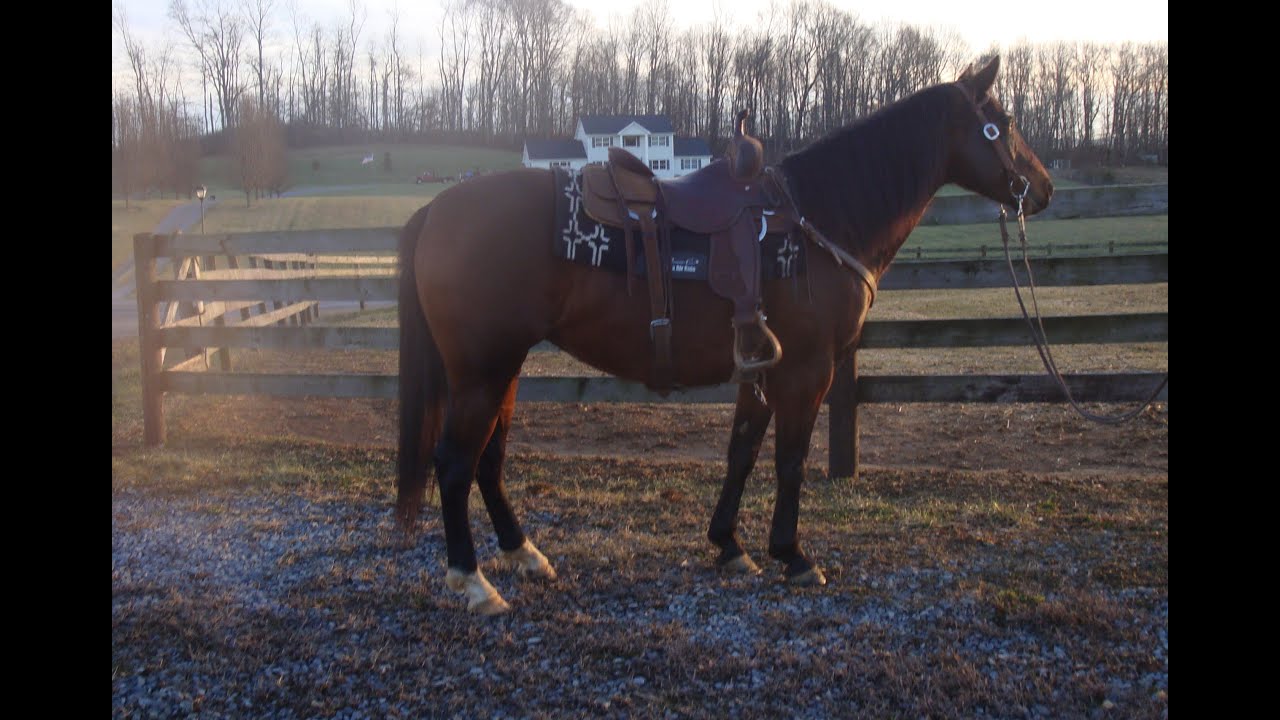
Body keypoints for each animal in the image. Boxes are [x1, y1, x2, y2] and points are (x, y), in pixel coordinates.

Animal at [396, 55, 1054, 614]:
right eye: (1002, 124)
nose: (1043, 189)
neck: (819, 219)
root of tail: (437, 210)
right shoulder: (806, 370)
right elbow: (790, 459)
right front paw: (793, 555)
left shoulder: (760, 366)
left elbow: (742, 452)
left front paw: (730, 546)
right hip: (482, 371)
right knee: (455, 463)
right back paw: (474, 582)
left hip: (503, 368)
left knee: (489, 461)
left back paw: (524, 554)